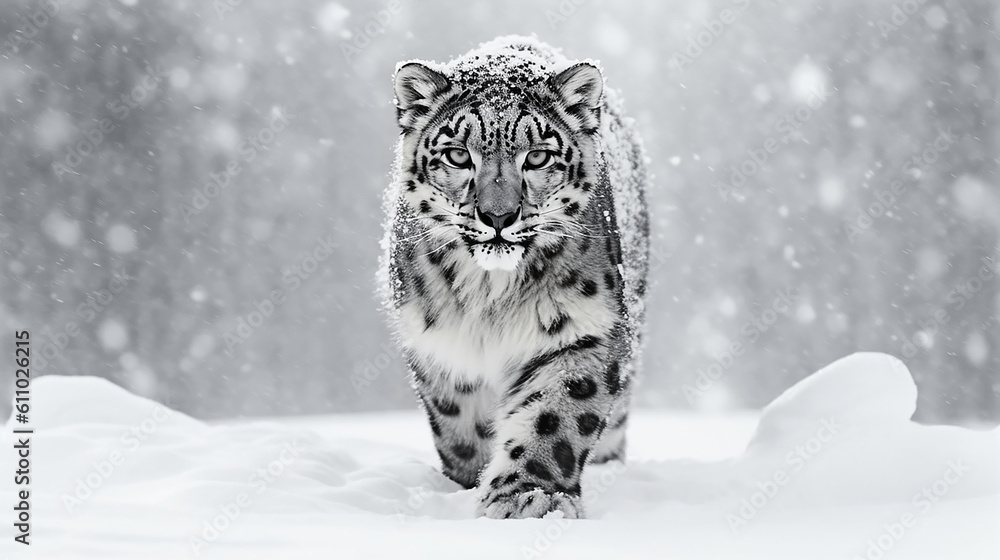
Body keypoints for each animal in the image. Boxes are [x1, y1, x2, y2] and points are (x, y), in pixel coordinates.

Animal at [378, 35, 649, 519]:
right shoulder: (441, 346)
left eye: (537, 155)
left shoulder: (583, 330)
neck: (490, 298)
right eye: (458, 154)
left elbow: (557, 417)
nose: (499, 216)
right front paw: (473, 482)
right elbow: (461, 428)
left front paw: (529, 496)